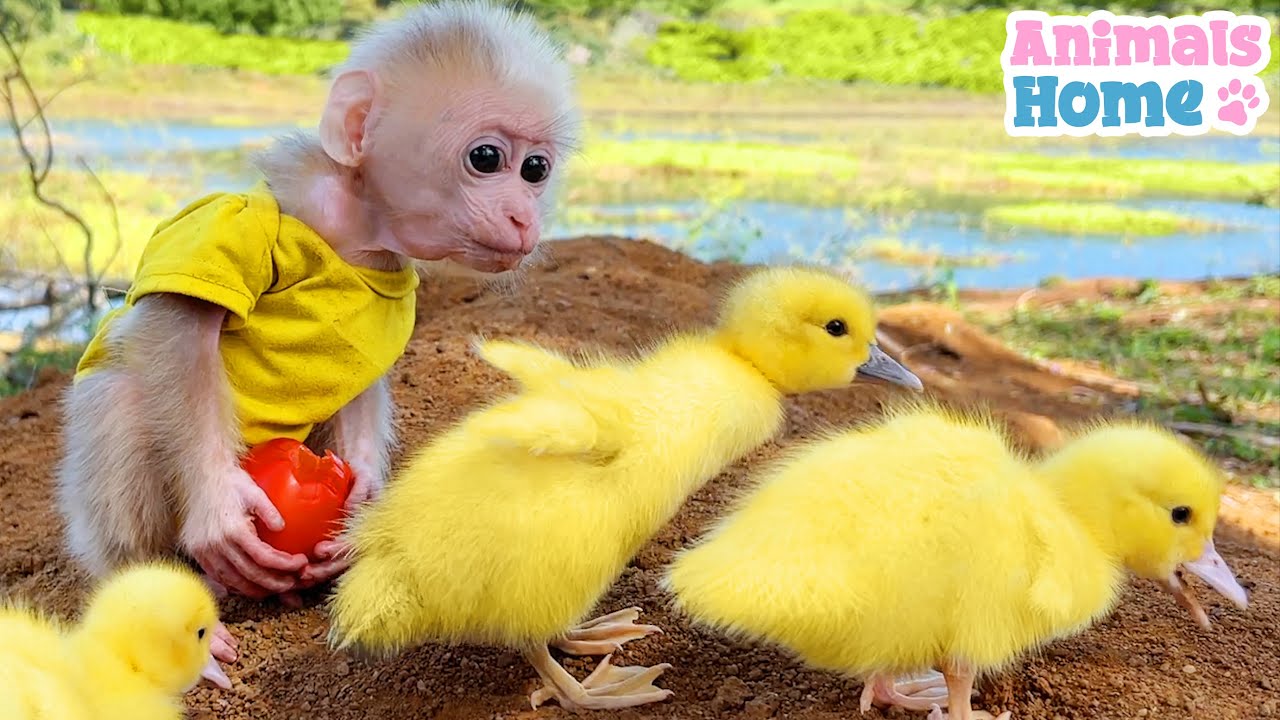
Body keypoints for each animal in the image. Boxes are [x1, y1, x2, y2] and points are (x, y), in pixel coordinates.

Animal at [54, 0, 581, 690]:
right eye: (487, 158)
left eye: (536, 170)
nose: (525, 218)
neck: (356, 234)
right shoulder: (232, 224)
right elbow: (182, 323)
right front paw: (218, 508)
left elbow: (359, 382)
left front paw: (361, 502)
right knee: (120, 397)